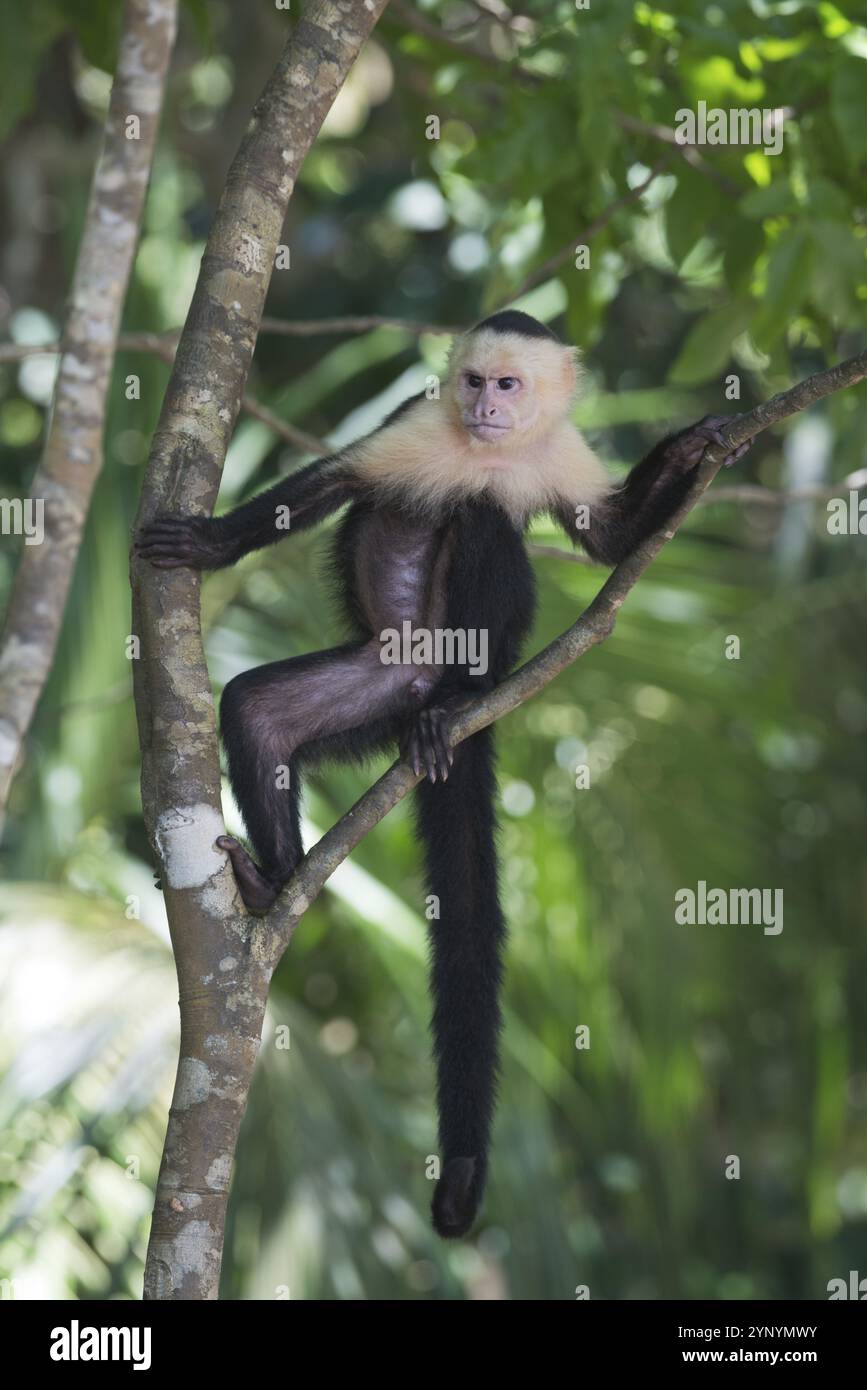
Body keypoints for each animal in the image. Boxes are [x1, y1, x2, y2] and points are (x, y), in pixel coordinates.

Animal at [136, 309, 750, 1238]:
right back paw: (273, 883)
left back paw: (462, 693)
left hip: (450, 670)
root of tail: (425, 691)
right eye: (471, 382)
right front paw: (209, 544)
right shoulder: (416, 429)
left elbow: (604, 536)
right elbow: (325, 485)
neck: (489, 449)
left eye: (508, 385)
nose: (486, 408)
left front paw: (688, 456)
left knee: (487, 522)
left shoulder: (557, 451)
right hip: (378, 682)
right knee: (257, 712)